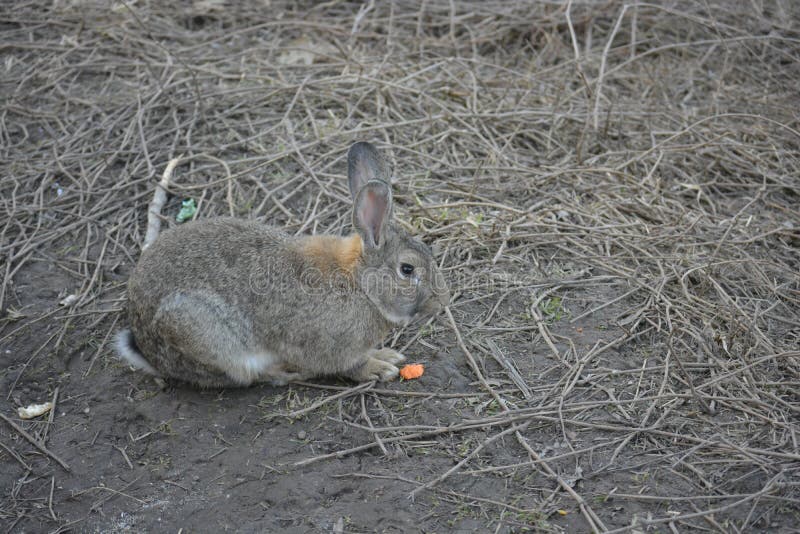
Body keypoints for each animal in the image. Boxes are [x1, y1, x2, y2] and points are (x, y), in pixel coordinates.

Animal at [115, 142, 450, 388]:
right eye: (407, 270)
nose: (442, 301)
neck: (360, 284)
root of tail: (144, 345)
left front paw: (387, 355)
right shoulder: (330, 347)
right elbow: (349, 365)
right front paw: (378, 368)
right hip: (199, 331)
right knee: (245, 376)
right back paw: (286, 373)